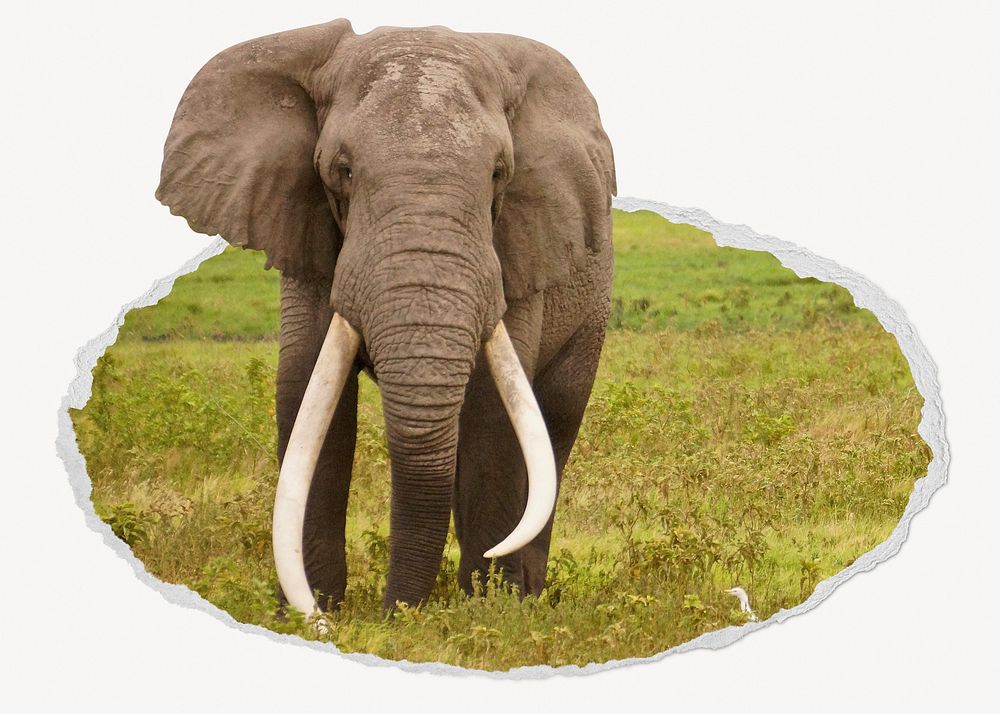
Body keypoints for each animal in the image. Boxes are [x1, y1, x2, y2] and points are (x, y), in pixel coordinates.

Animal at [156, 19, 616, 617]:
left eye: (498, 174)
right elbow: (306, 396)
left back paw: (524, 596)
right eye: (342, 171)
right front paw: (306, 615)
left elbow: (493, 413)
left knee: (553, 423)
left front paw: (487, 614)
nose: (395, 617)